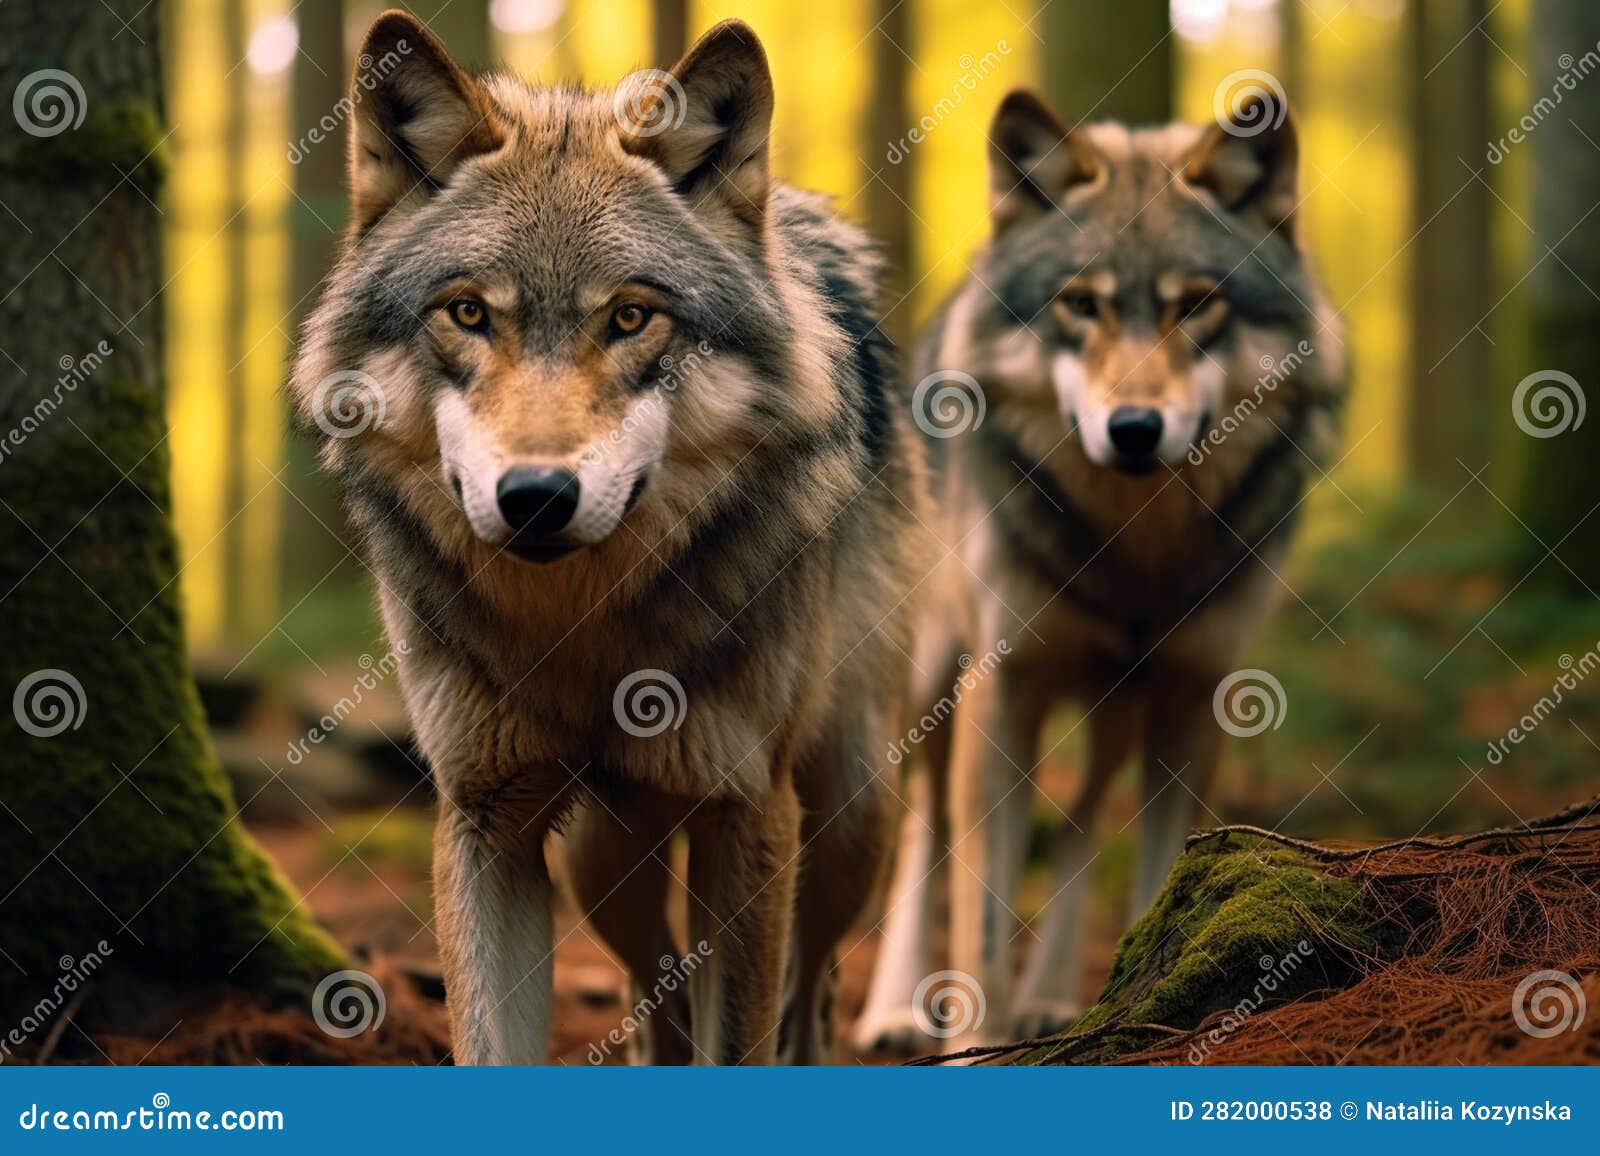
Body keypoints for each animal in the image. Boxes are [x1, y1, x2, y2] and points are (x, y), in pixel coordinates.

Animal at [292, 12, 927, 1064]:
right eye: (468, 312)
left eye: (631, 316)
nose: (536, 497)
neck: (582, 636)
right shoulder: (486, 818)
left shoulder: (746, 810)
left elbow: (742, 1041)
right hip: (603, 856)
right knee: (653, 989)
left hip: (848, 810)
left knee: (811, 984)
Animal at [851, 88, 1346, 1052]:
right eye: (1080, 303)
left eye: (1197, 306)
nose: (1134, 430)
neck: (1137, 548)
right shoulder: (1001, 690)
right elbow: (980, 907)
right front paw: (977, 1048)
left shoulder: (1194, 692)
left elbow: (1152, 876)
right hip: (927, 682)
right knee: (925, 830)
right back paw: (893, 1011)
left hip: (1117, 703)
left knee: (1081, 821)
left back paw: (1052, 996)